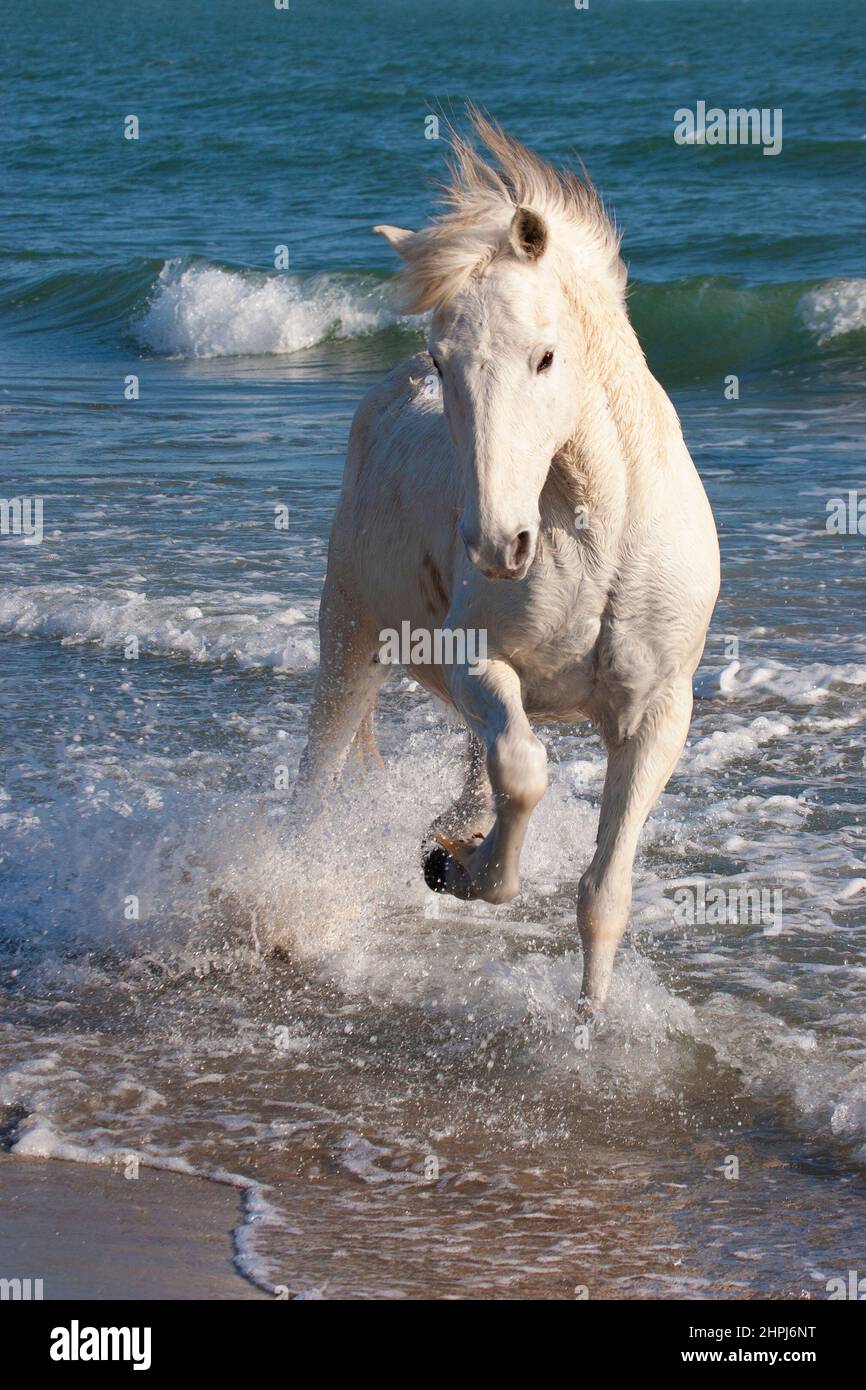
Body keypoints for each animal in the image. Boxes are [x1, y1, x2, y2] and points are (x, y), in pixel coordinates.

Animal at [296, 112, 719, 1012]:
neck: (600, 539)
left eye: (545, 357)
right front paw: (457, 869)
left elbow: (604, 893)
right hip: (349, 640)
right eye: (444, 359)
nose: (498, 545)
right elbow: (524, 772)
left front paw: (590, 1024)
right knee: (319, 778)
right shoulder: (477, 662)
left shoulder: (658, 715)